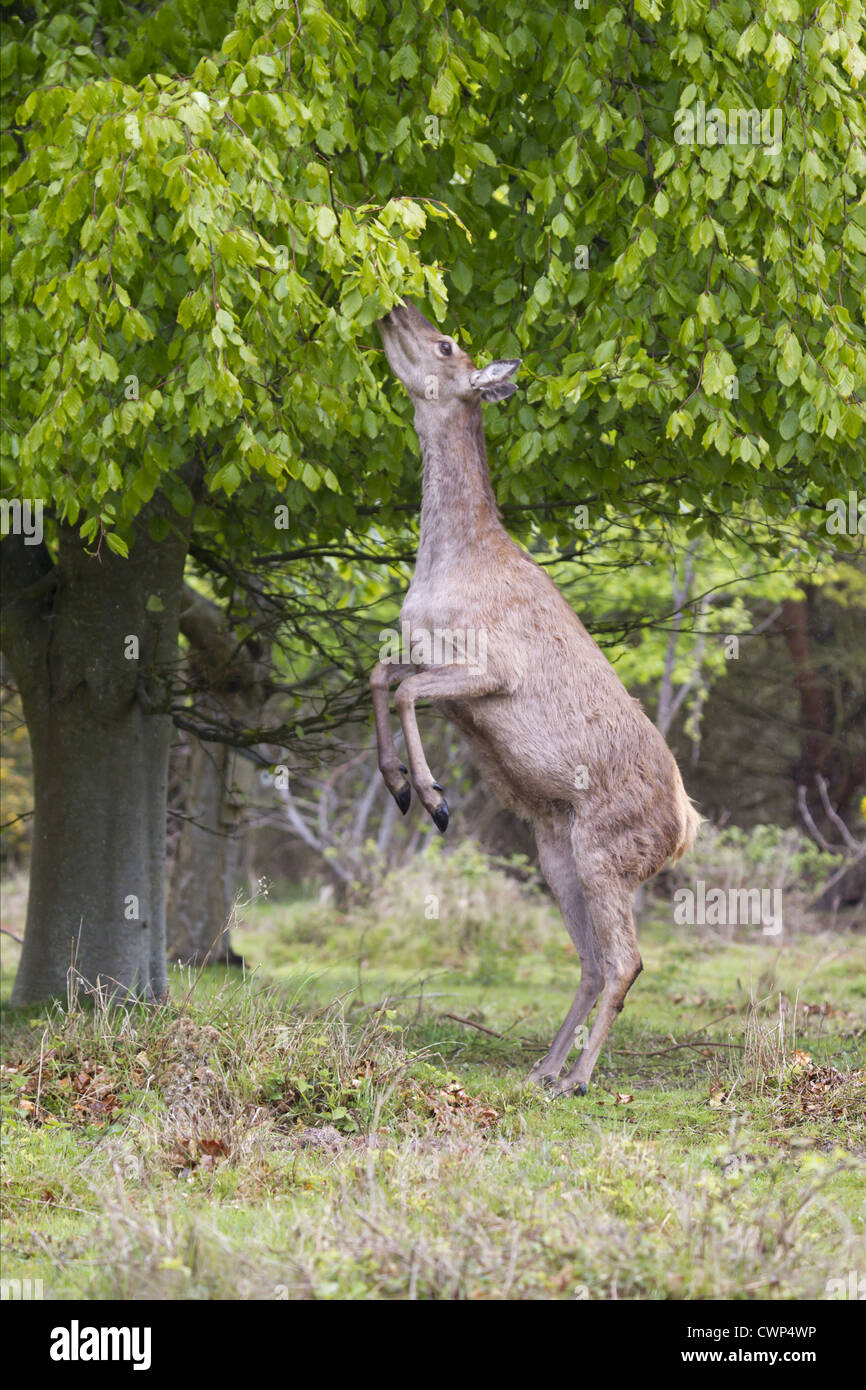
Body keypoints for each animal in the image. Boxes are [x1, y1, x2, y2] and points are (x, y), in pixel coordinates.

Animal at [371, 299, 700, 1096]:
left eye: (445, 343)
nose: (393, 306)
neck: (451, 564)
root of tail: (685, 827)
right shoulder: (424, 650)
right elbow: (381, 675)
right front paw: (398, 784)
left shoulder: (491, 669)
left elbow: (406, 689)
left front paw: (432, 797)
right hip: (560, 851)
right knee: (591, 959)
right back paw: (543, 1070)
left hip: (608, 850)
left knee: (626, 959)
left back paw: (578, 1078)